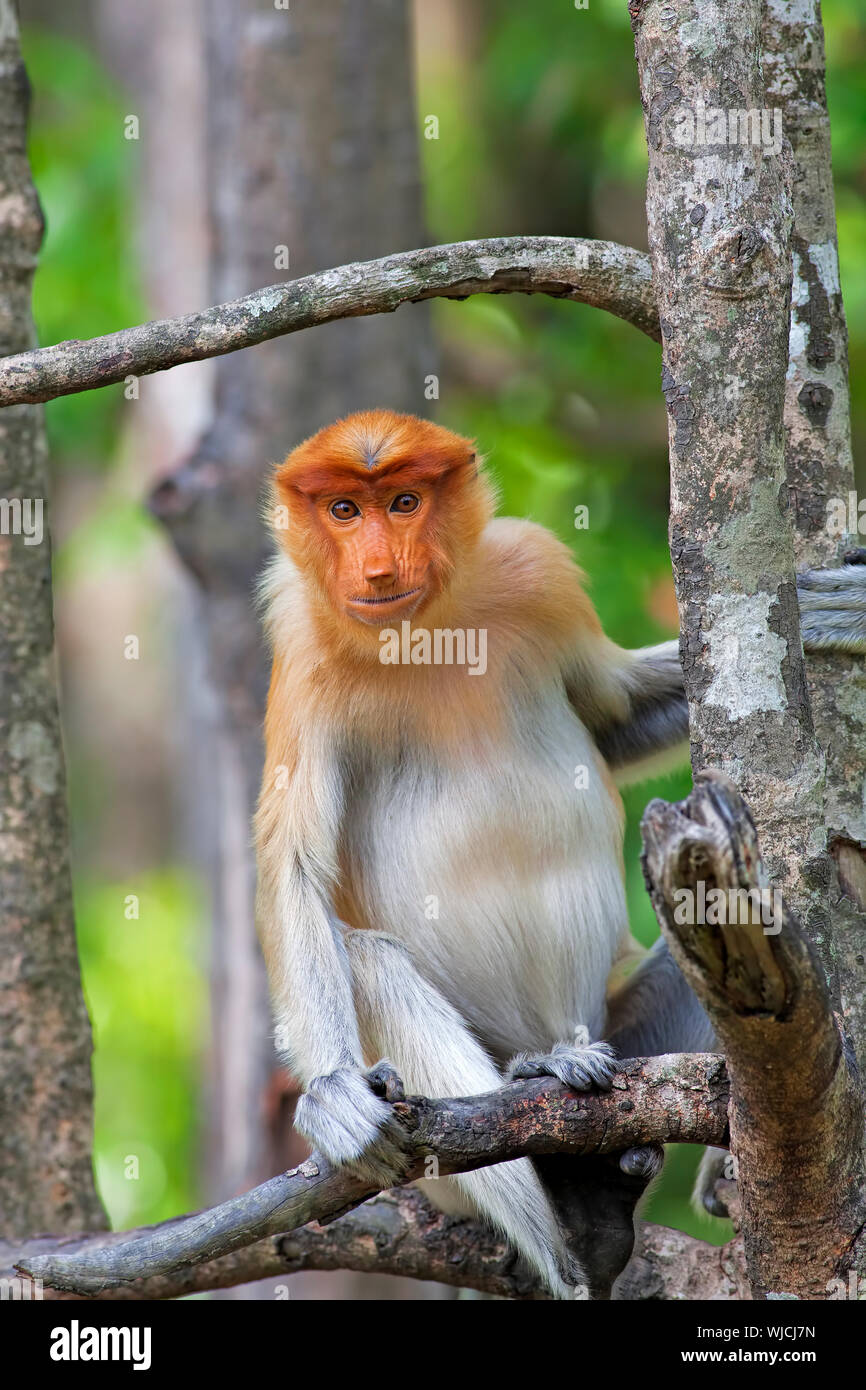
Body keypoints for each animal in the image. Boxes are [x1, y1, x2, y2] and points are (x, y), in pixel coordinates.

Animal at [254, 409, 866, 1299]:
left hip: (629, 1033)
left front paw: (836, 616)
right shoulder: (302, 649)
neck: (426, 628)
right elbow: (296, 867)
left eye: (403, 502)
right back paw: (576, 1216)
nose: (376, 568)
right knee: (367, 963)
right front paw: (333, 1095)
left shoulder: (535, 570)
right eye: (342, 510)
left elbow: (611, 717)